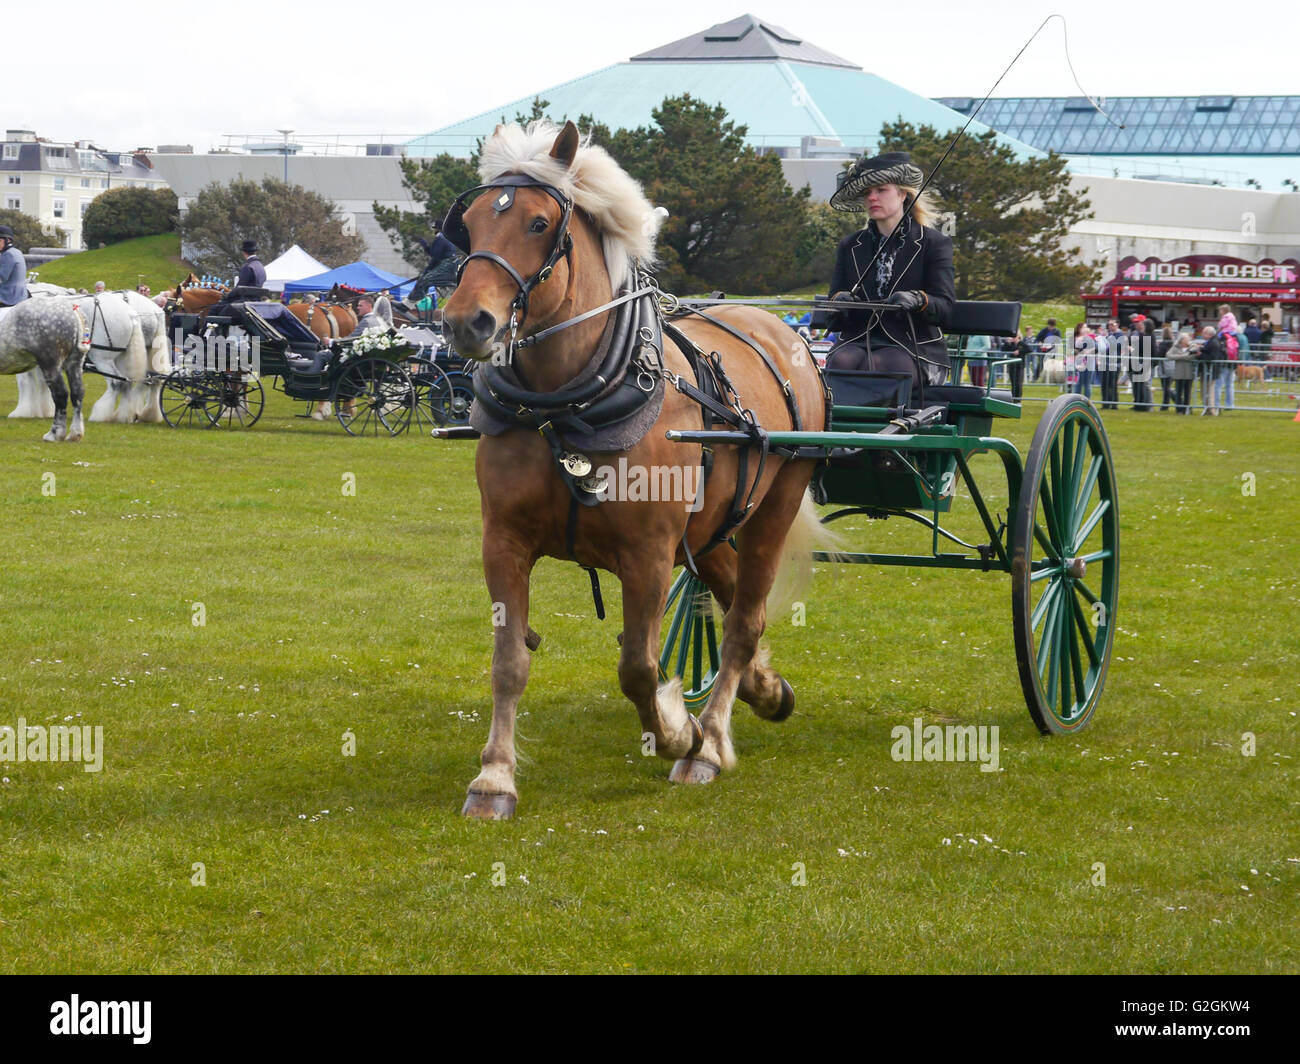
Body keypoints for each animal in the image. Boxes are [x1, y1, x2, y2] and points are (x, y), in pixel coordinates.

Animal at [0, 298, 94, 441]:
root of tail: (72, 311)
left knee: (61, 395)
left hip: (50, 365)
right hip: (74, 364)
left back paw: (54, 434)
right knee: (77, 393)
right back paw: (75, 434)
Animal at [439, 120, 829, 818]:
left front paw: (679, 731)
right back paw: (766, 689)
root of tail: (780, 329)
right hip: (712, 527)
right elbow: (509, 662)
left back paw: (710, 743)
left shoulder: (647, 553)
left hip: (776, 506)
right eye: (474, 223)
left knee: (743, 622)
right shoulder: (503, 542)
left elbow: (639, 668)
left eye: (539, 223)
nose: (466, 322)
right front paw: (494, 777)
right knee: (733, 602)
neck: (567, 411)